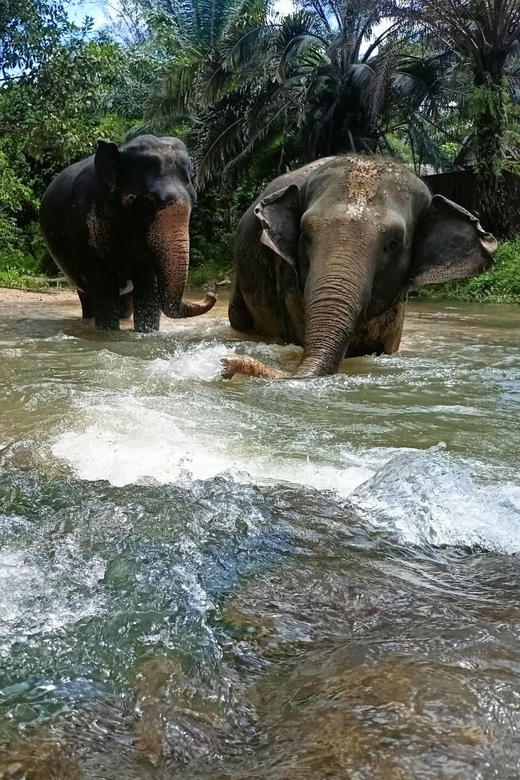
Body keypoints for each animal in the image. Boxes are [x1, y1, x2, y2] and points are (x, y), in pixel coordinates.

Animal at [39, 134, 216, 331]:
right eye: (147, 202)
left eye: (194, 200)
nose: (211, 294)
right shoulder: (84, 229)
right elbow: (104, 287)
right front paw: (109, 333)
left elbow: (148, 289)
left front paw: (146, 333)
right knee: (86, 296)